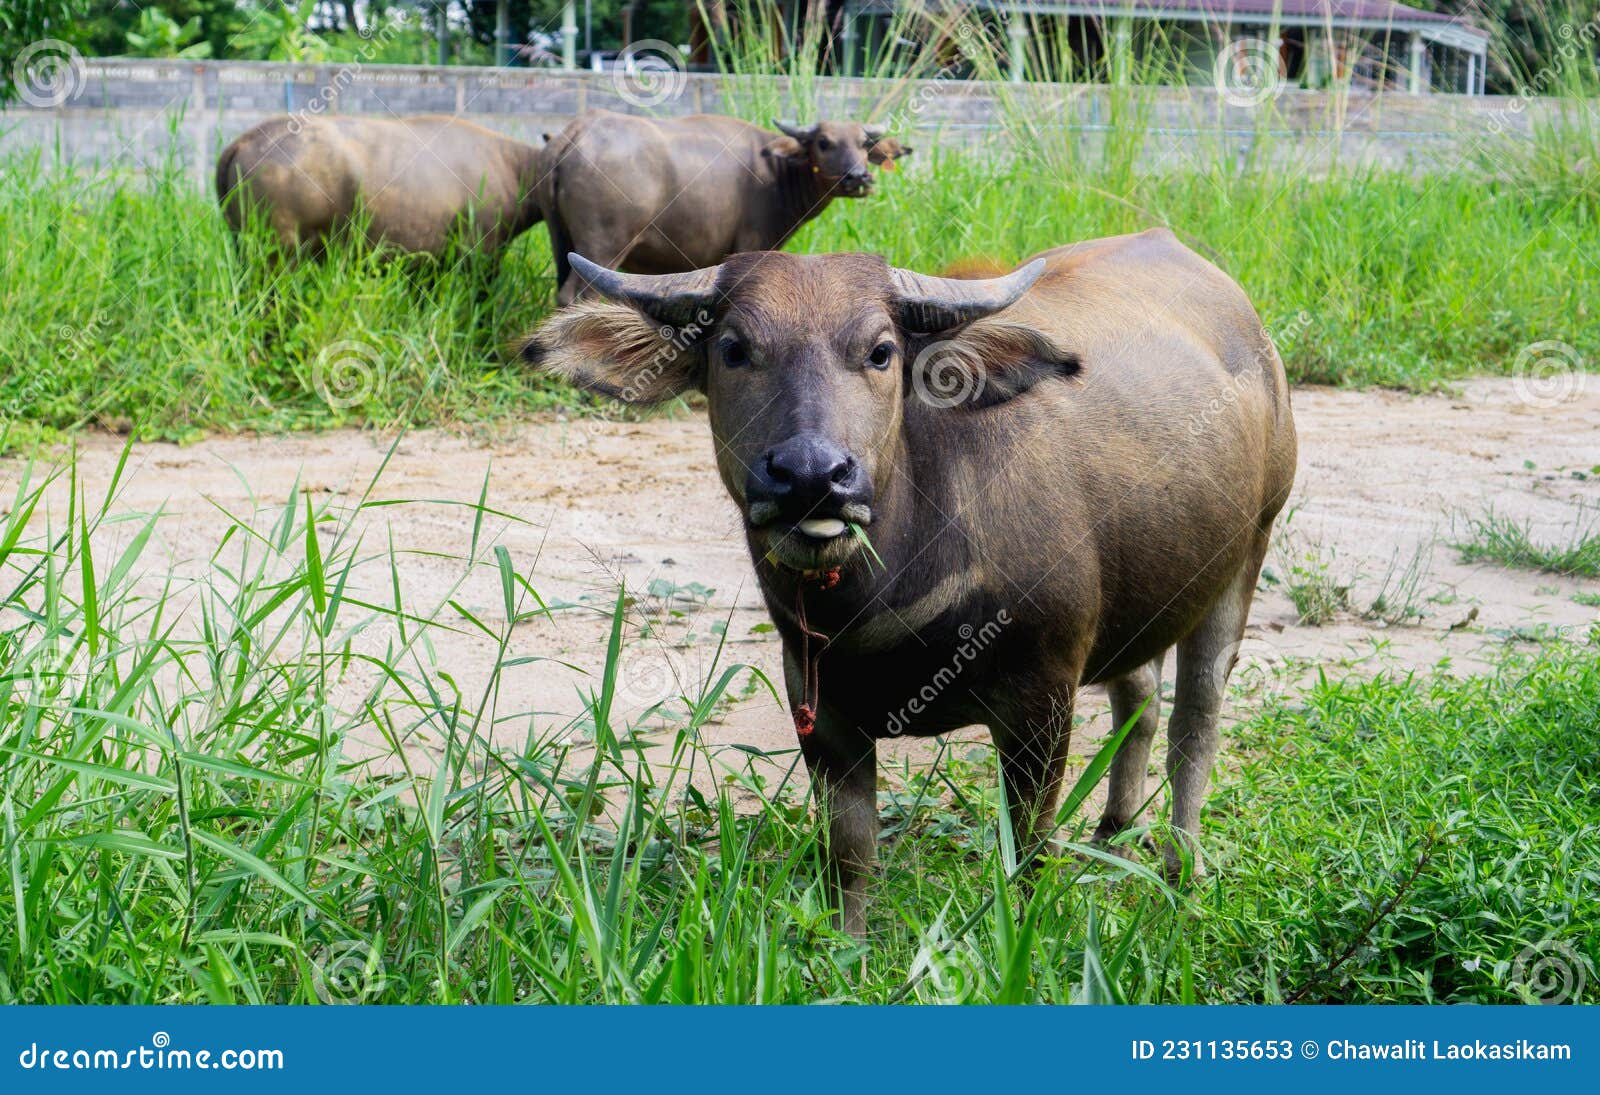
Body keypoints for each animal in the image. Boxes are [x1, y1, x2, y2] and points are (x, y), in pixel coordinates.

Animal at [524, 230, 1297, 936]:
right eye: (734, 348)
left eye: (880, 351)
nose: (812, 475)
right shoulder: (819, 702)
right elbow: (851, 852)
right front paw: (847, 946)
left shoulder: (1042, 696)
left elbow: (1027, 846)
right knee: (1137, 692)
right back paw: (1114, 833)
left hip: (1247, 555)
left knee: (1194, 719)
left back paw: (1180, 869)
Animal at [536, 111, 911, 304]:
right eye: (823, 142)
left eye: (864, 144)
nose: (858, 177)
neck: (776, 171)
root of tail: (577, 132)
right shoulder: (752, 246)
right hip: (603, 247)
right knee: (575, 296)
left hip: (560, 239)